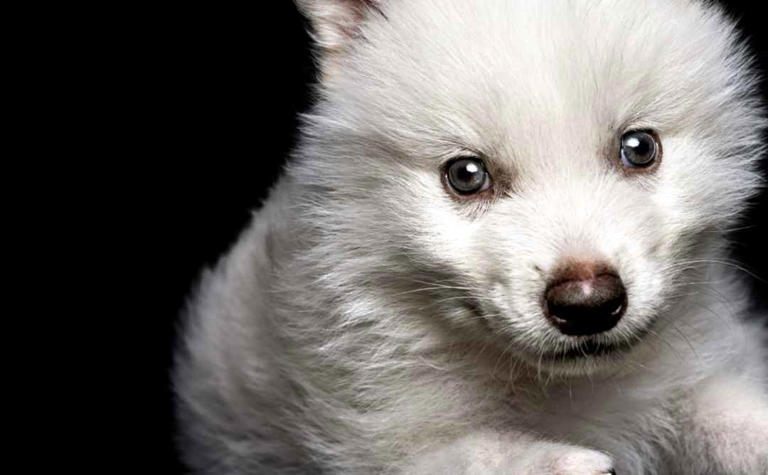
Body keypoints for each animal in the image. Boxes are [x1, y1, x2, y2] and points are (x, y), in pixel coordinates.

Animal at [174, 0, 768, 473]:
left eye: (639, 148)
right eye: (466, 175)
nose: (589, 303)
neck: (563, 387)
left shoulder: (691, 378)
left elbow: (732, 419)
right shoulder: (368, 434)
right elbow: (474, 452)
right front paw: (558, 462)